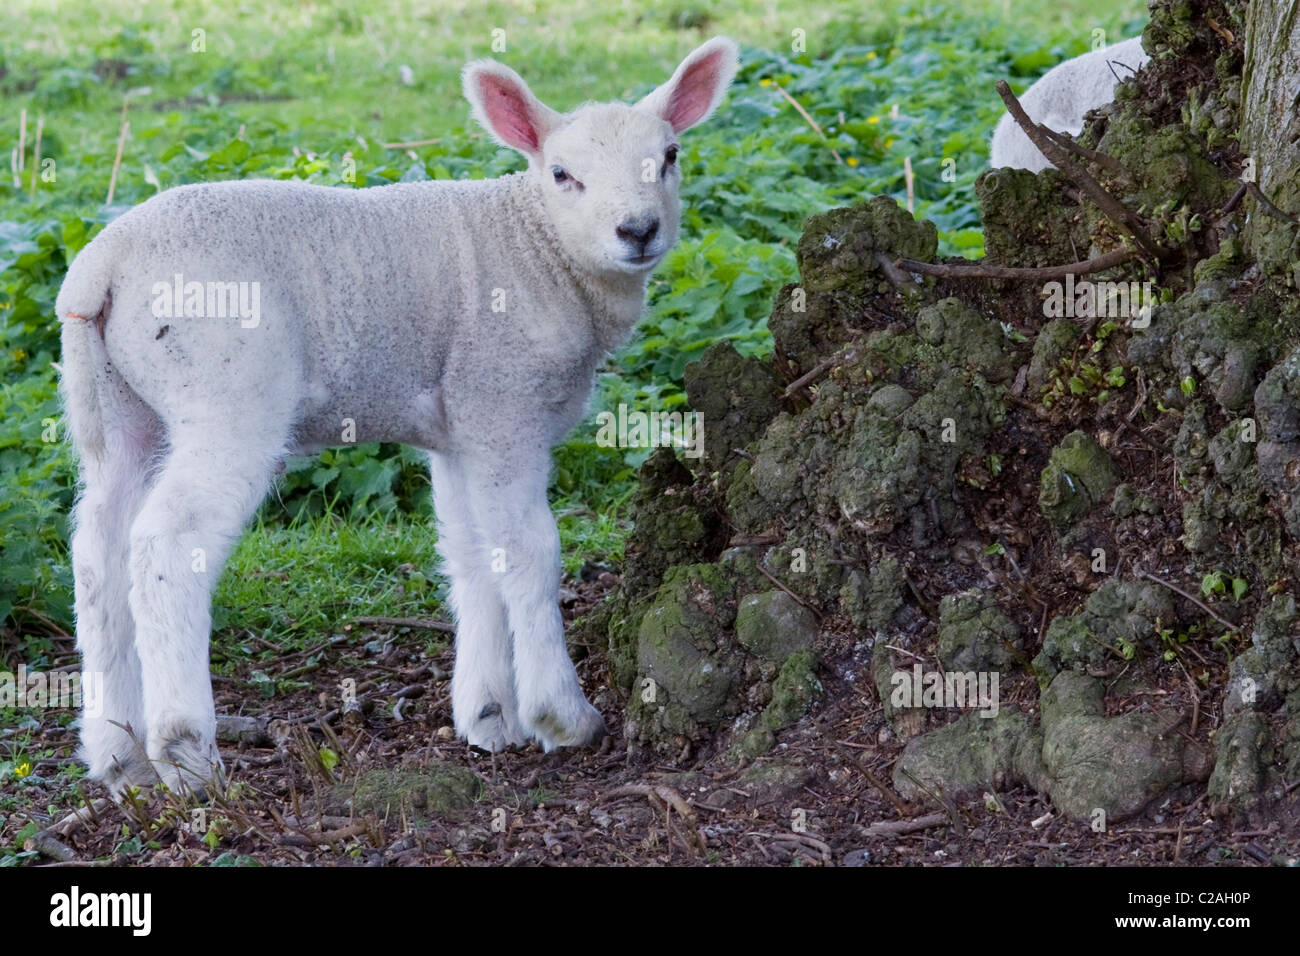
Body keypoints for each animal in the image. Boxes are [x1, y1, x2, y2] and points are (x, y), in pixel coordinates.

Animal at [56, 36, 739, 797]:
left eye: (670, 156)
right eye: (563, 175)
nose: (638, 230)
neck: (538, 249)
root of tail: (102, 266)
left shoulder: (458, 424)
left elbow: (471, 553)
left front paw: (489, 716)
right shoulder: (502, 400)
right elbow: (529, 548)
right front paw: (561, 716)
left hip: (116, 405)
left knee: (98, 552)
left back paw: (118, 756)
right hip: (226, 392)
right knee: (167, 547)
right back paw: (185, 753)